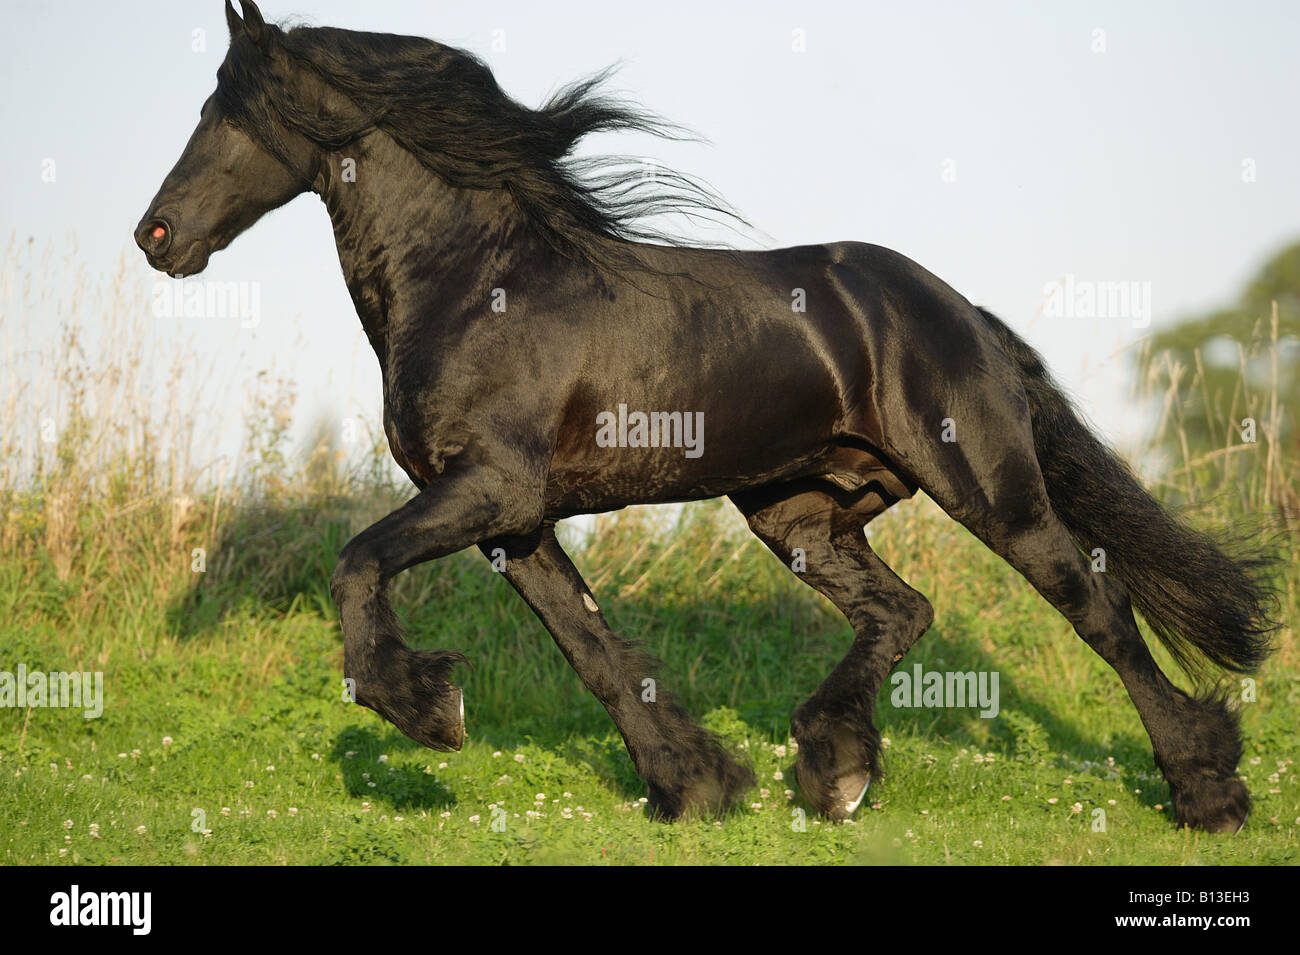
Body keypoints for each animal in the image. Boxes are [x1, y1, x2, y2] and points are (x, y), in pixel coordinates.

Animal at [136, 0, 1277, 831]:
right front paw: (696, 786)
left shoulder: (487, 489)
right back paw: (834, 772)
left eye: (226, 112)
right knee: (899, 610)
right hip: (796, 511)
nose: (156, 236)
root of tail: (959, 312)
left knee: (1097, 609)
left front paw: (427, 709)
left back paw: (1208, 791)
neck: (475, 284)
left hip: (989, 490)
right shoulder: (513, 520)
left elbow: (359, 564)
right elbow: (594, 650)